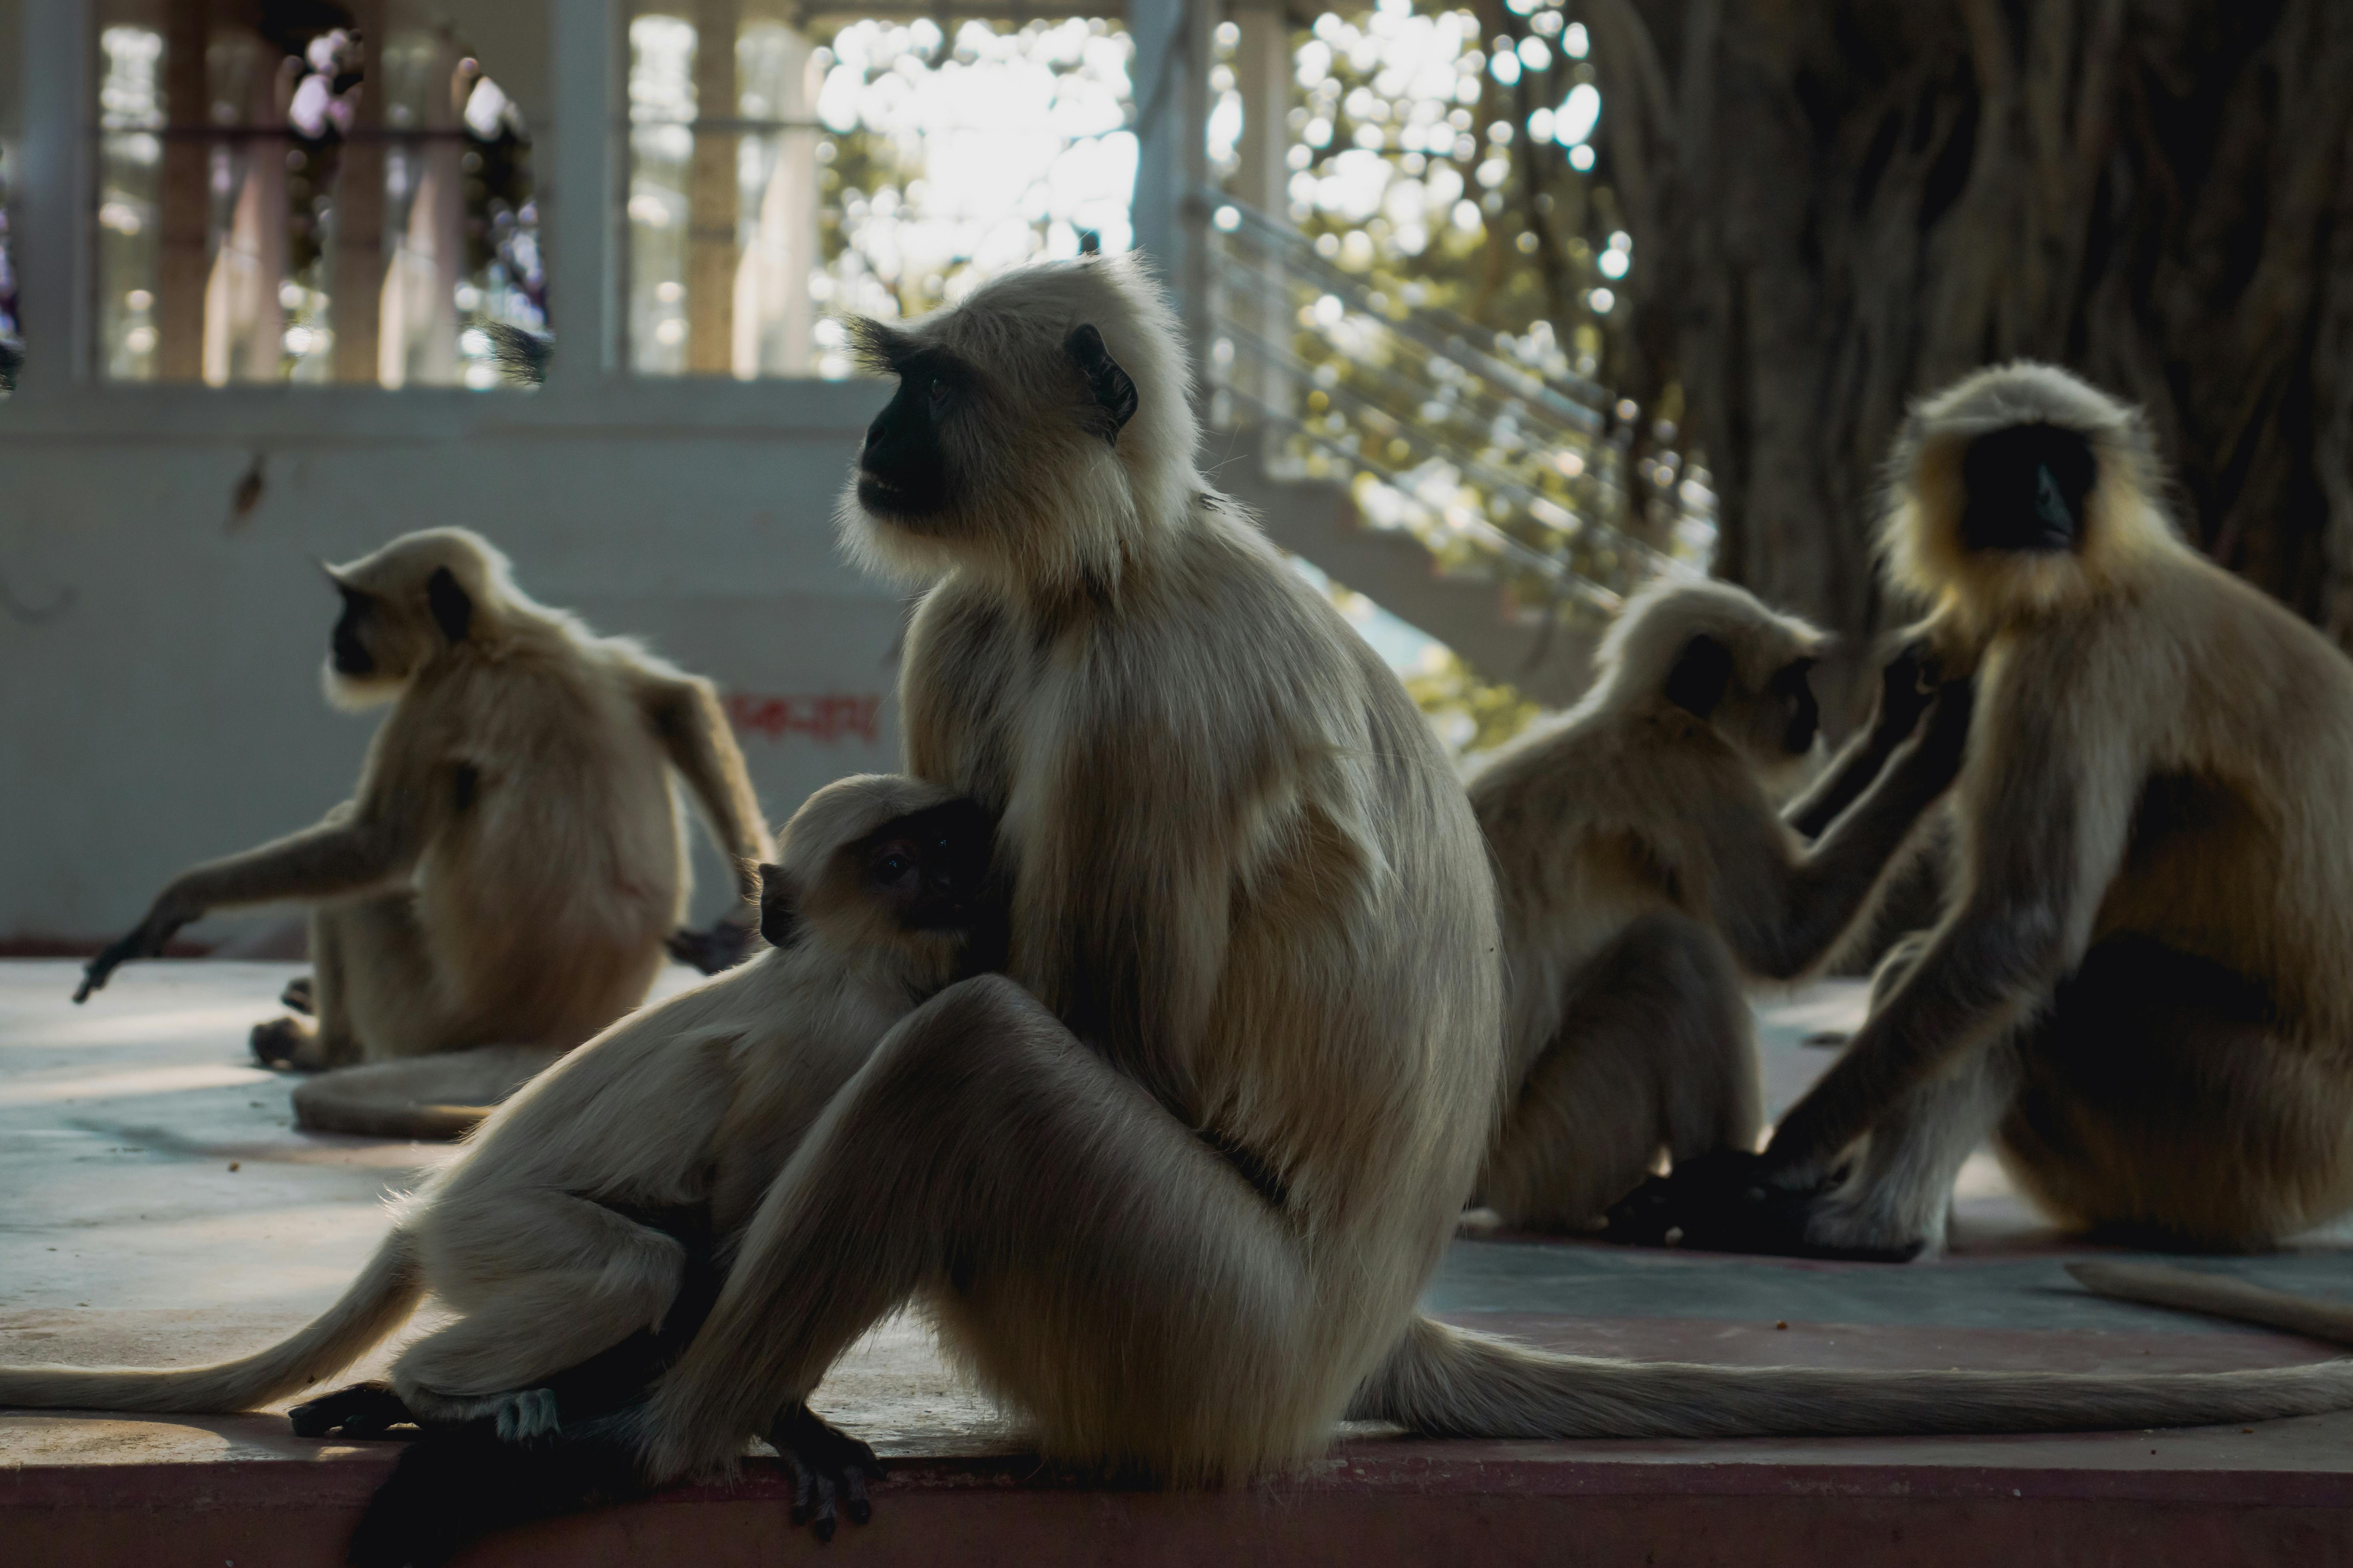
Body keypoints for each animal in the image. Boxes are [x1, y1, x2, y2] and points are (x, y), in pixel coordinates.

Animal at [0, 774, 997, 1471]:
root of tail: (425, 1218)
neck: (845, 967)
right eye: (895, 866)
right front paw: (789, 1427)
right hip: (494, 1232)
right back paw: (433, 1394)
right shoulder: (826, 1049)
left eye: (945, 845)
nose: (953, 877)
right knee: (641, 1267)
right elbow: (736, 1233)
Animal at [70, 527, 774, 1138]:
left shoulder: (435, 700)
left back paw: (320, 1049)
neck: (493, 640)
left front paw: (176, 902)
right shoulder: (576, 644)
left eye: (355, 606)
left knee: (354, 882)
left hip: (421, 1013)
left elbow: (375, 849)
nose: (335, 637)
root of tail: (545, 1032)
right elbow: (681, 701)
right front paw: (744, 921)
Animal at [1462, 577, 1971, 1235]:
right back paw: (1704, 1200)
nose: (1812, 713)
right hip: (1548, 1153)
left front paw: (1889, 725)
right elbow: (1784, 942)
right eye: (1794, 680)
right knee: (1674, 954)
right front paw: (1941, 740)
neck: (1645, 713)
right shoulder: (1689, 765)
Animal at [1630, 362, 2353, 1261]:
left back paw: (1870, 1228)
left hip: (2252, 1141)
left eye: (2062, 460)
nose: (2041, 496)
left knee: (2039, 990)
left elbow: (2023, 926)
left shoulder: (2079, 647)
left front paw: (1770, 1165)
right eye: (2012, 459)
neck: (2104, 567)